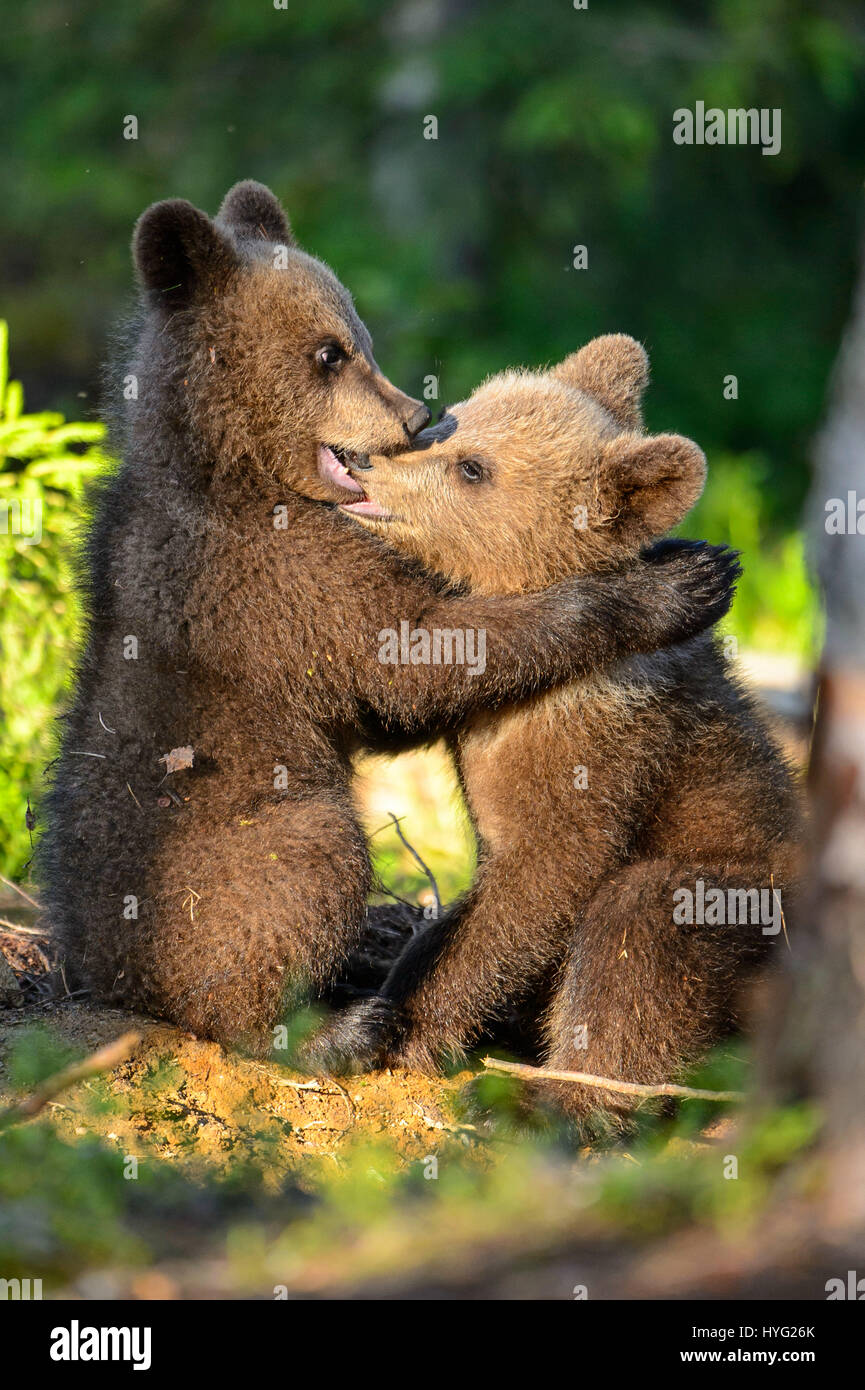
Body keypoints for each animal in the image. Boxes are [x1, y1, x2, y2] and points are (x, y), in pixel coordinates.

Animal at [38, 190, 737, 1055]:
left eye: (359, 336)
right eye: (328, 351)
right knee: (299, 865)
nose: (414, 414)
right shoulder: (271, 578)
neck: (229, 465)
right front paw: (677, 583)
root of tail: (102, 975)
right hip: (215, 848)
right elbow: (410, 658)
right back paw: (332, 1024)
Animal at [314, 334, 803, 1128]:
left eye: (473, 467)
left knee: (642, 929)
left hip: (754, 910)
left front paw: (416, 1026)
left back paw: (551, 1100)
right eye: (449, 419)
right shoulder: (476, 710)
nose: (361, 462)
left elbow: (546, 874)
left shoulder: (596, 746)